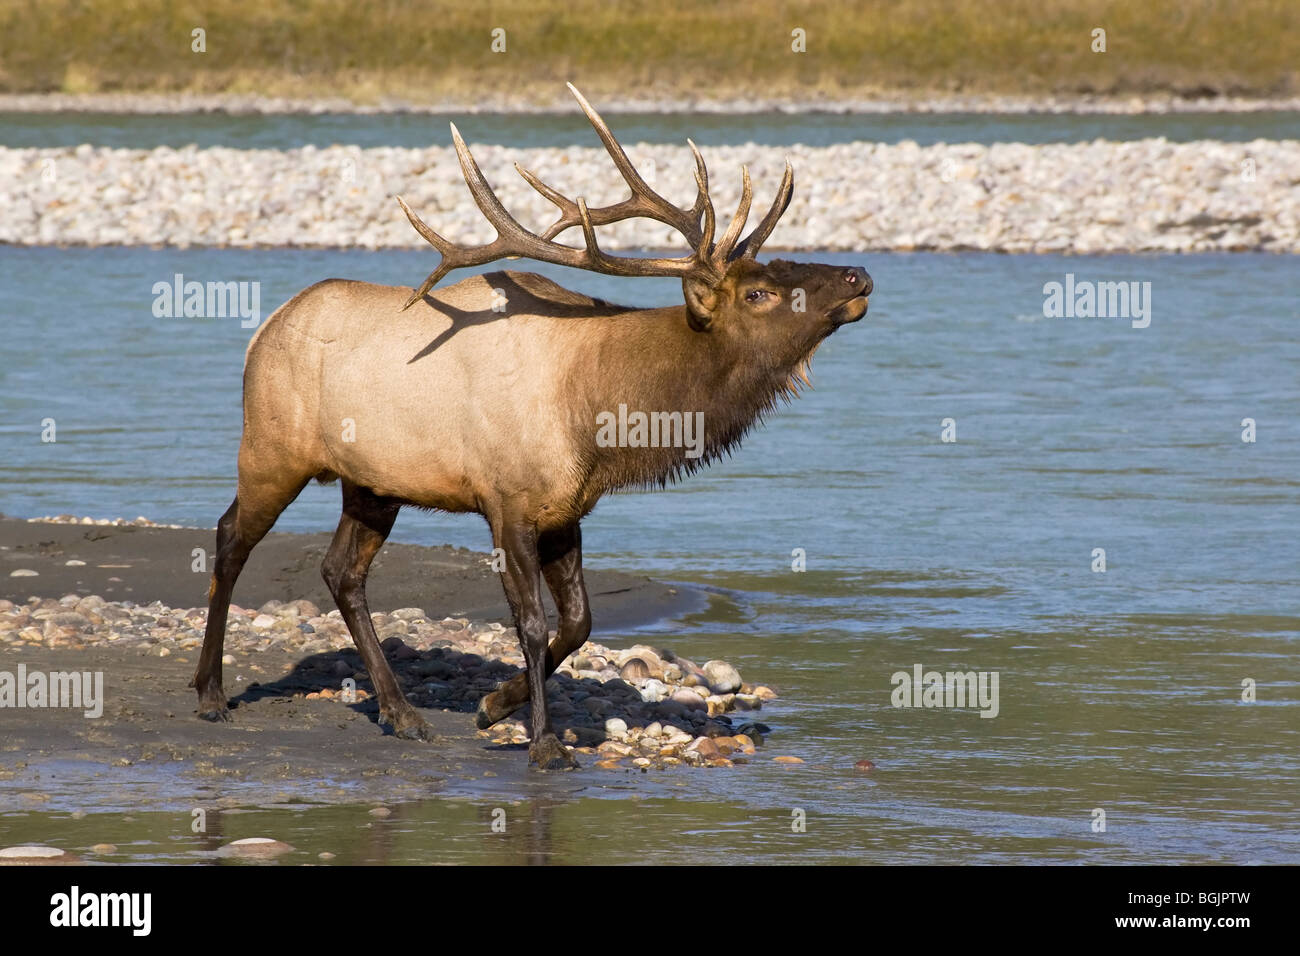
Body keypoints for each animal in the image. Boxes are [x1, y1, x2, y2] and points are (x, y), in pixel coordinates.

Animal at [191, 84, 871, 770]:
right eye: (758, 293)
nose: (858, 275)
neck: (598, 413)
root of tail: (263, 330)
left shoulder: (565, 508)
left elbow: (579, 622)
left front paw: (493, 705)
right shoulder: (506, 500)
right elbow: (533, 623)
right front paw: (543, 742)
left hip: (372, 483)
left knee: (341, 573)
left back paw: (402, 712)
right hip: (272, 448)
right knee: (231, 537)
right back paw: (211, 692)